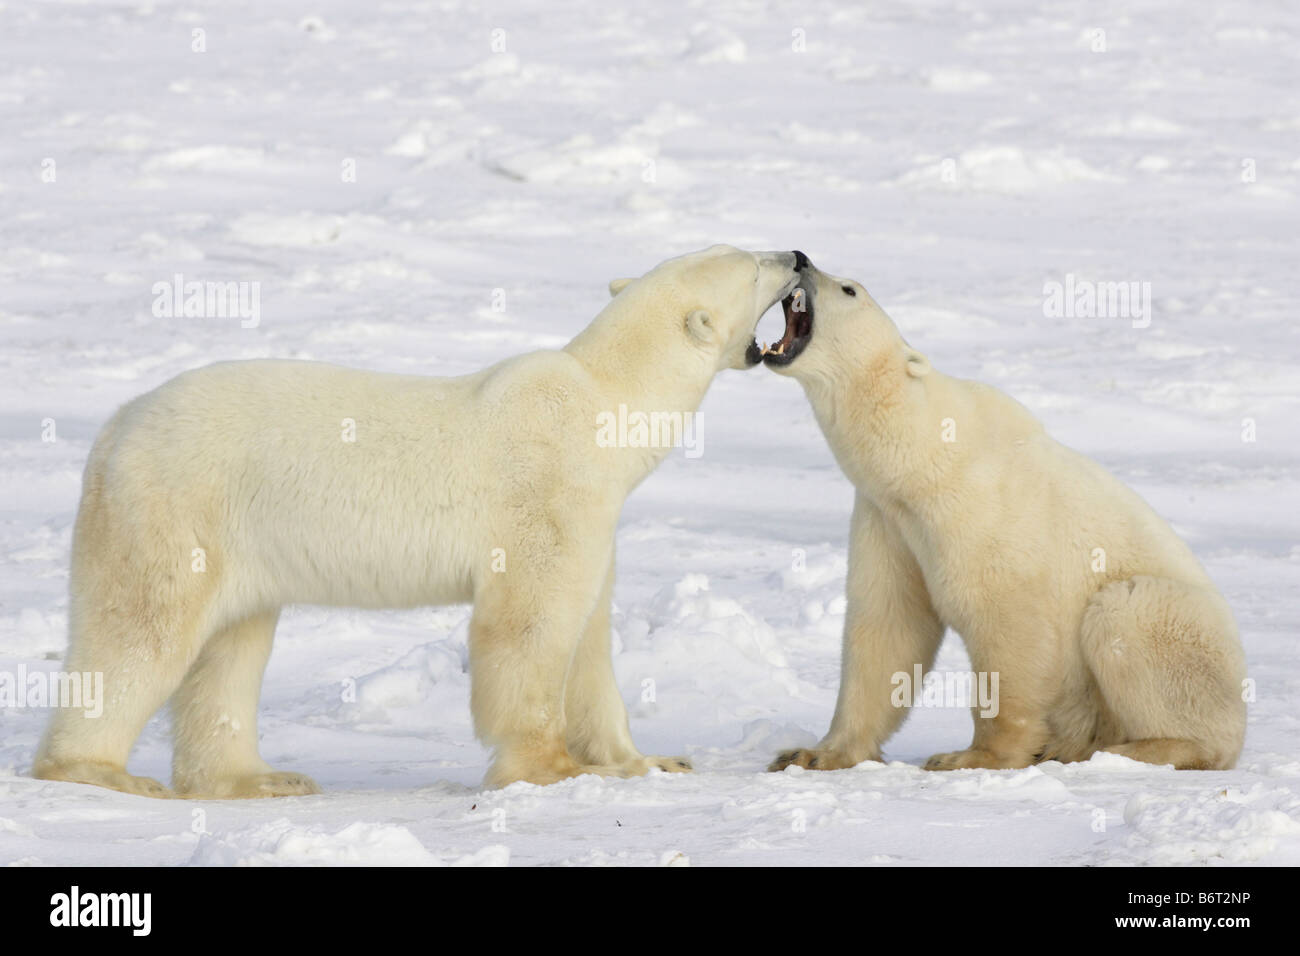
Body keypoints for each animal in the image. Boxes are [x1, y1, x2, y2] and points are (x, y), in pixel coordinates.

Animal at [33, 244, 804, 798]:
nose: (796, 256)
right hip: (174, 508)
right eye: (749, 263)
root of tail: (114, 428)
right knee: (141, 633)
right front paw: (552, 769)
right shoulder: (547, 496)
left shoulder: (597, 518)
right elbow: (528, 627)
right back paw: (99, 772)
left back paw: (260, 778)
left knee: (230, 647)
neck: (602, 402)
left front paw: (649, 761)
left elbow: (589, 642)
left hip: (231, 536)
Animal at [763, 255, 1247, 773]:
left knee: (1127, 614)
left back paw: (1131, 748)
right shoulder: (888, 520)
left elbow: (1008, 623)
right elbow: (887, 623)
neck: (921, 454)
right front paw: (811, 753)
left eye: (850, 289)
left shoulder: (982, 505)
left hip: (1187, 638)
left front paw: (970, 755)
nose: (801, 258)